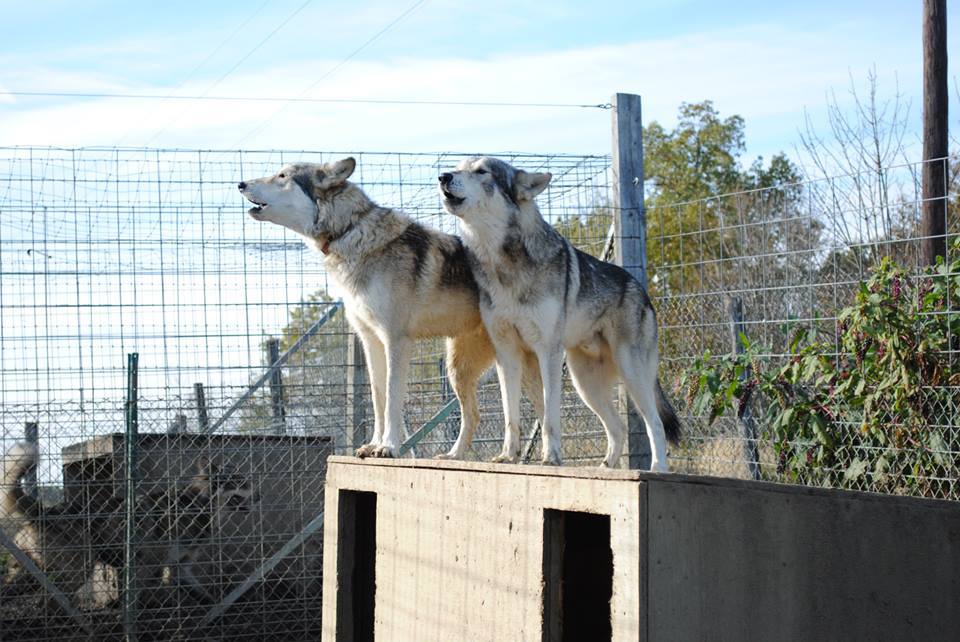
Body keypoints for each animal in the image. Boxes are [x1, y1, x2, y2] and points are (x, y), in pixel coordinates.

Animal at [239, 157, 543, 459]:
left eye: (282, 176)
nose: (241, 184)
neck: (350, 230)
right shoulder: (370, 340)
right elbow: (377, 398)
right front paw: (373, 444)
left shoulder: (396, 340)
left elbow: (392, 398)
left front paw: (389, 446)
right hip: (460, 370)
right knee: (476, 415)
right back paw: (453, 456)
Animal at [438, 157, 681, 471]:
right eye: (457, 166)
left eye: (481, 171)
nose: (443, 176)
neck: (502, 265)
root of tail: (641, 289)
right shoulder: (507, 354)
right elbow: (511, 417)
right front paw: (507, 456)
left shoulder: (547, 352)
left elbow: (550, 417)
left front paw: (550, 458)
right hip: (585, 384)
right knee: (618, 427)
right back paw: (604, 467)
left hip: (631, 375)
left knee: (654, 423)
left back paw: (657, 468)